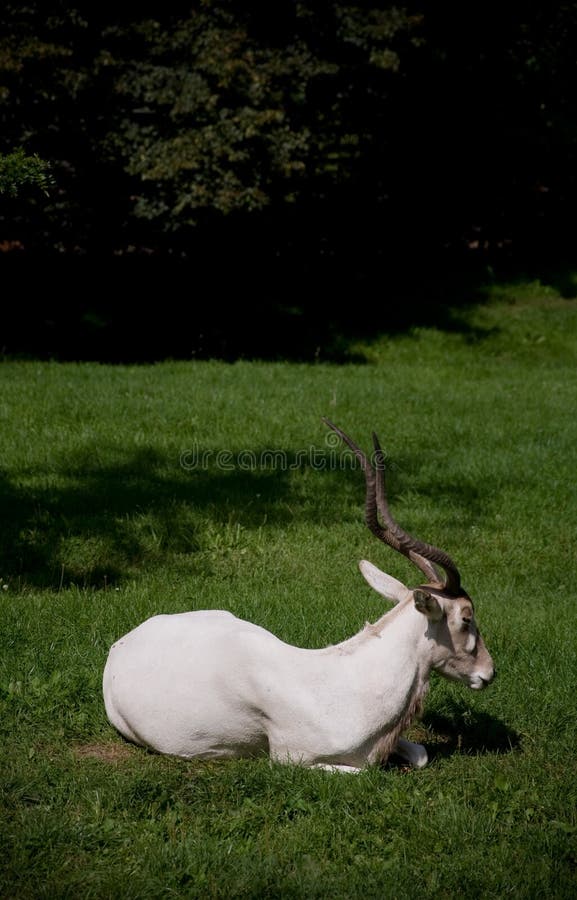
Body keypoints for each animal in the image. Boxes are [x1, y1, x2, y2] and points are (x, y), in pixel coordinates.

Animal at [103, 419, 494, 772]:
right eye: (466, 617)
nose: (489, 672)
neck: (346, 683)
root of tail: (124, 643)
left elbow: (421, 756)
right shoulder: (290, 760)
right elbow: (363, 770)